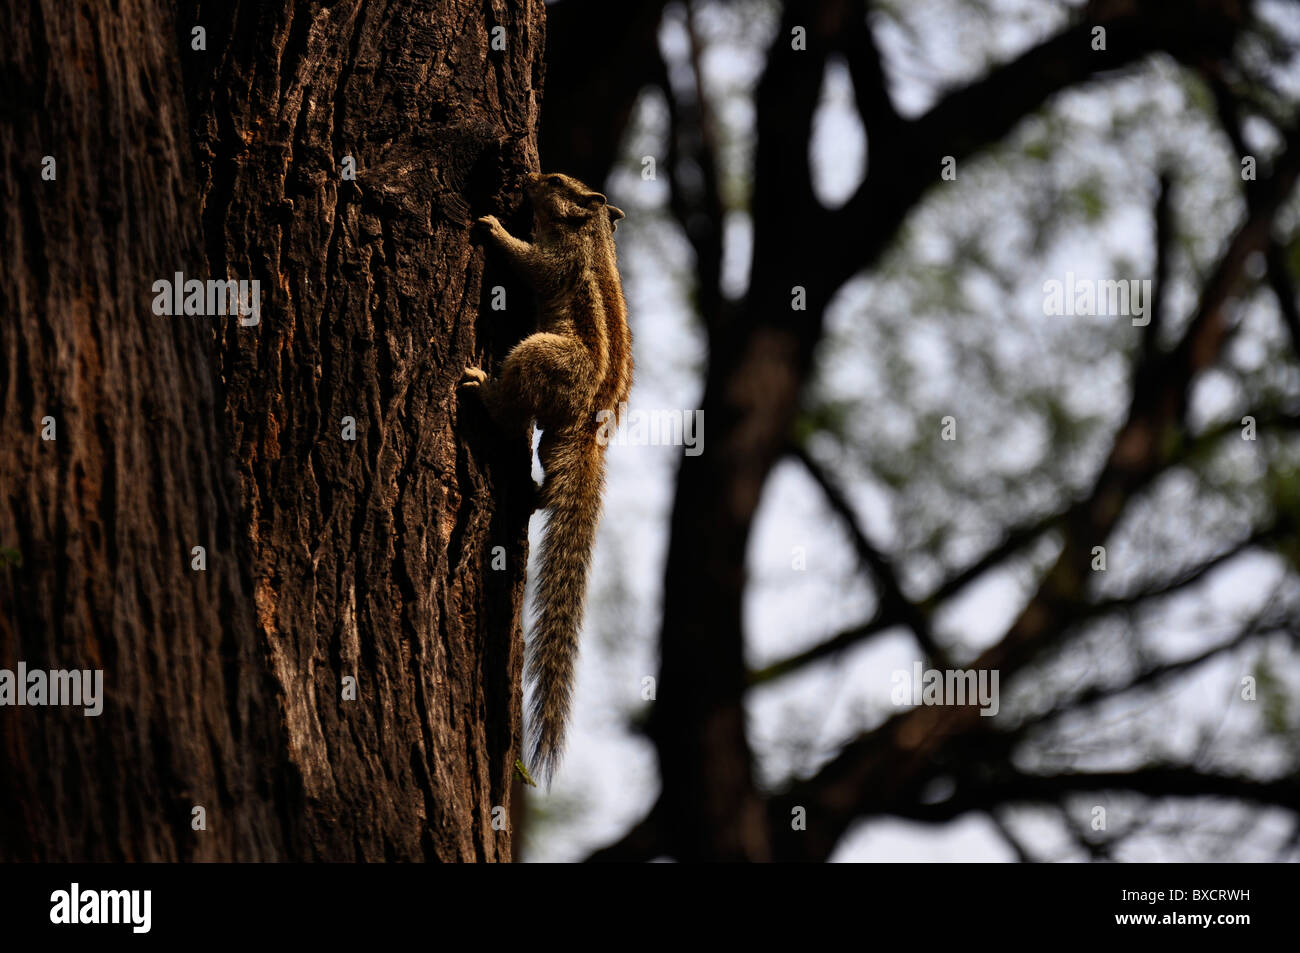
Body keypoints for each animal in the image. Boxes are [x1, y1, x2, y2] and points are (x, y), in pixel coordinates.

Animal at [460, 171, 632, 785]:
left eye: (557, 182)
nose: (532, 178)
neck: (592, 235)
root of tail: (588, 432)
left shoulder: (557, 263)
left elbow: (528, 261)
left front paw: (493, 228)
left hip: (542, 356)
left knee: (514, 409)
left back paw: (483, 391)